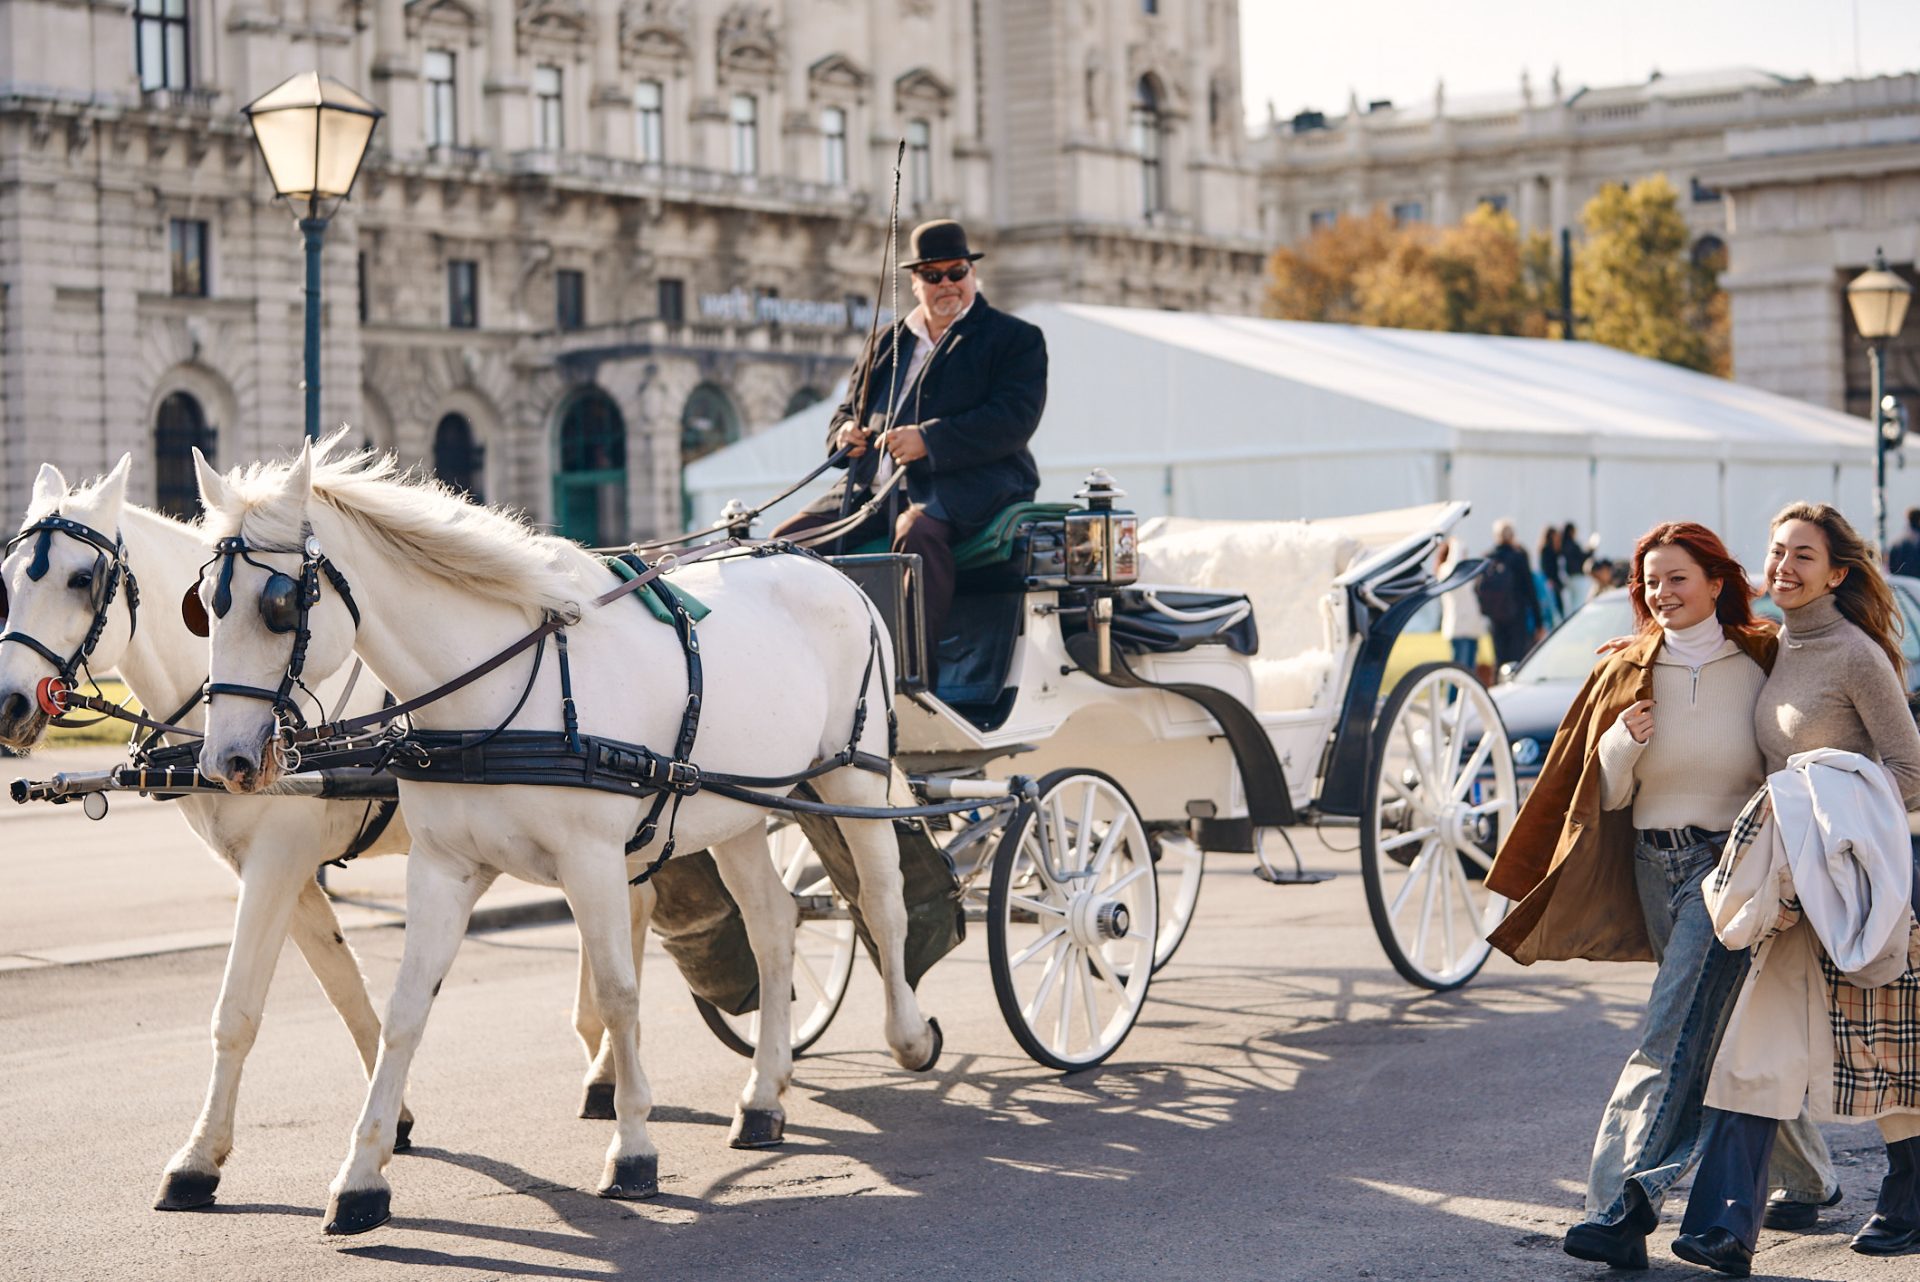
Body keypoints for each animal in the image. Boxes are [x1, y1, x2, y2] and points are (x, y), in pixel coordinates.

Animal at [0, 460, 420, 1212]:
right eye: (9, 579)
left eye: (81, 579)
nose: (8, 705)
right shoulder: (283, 874)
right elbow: (345, 990)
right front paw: (390, 1119)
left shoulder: (277, 865)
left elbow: (236, 1013)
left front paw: (198, 1161)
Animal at [187, 441, 936, 1228]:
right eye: (205, 606)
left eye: (278, 606)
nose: (225, 760)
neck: (500, 698)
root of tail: (825, 568)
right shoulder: (444, 868)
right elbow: (405, 1009)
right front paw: (362, 1174)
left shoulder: (593, 861)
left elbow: (618, 994)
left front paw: (633, 1148)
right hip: (735, 812)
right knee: (772, 922)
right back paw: (764, 1096)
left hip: (852, 776)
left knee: (881, 902)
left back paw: (908, 1036)